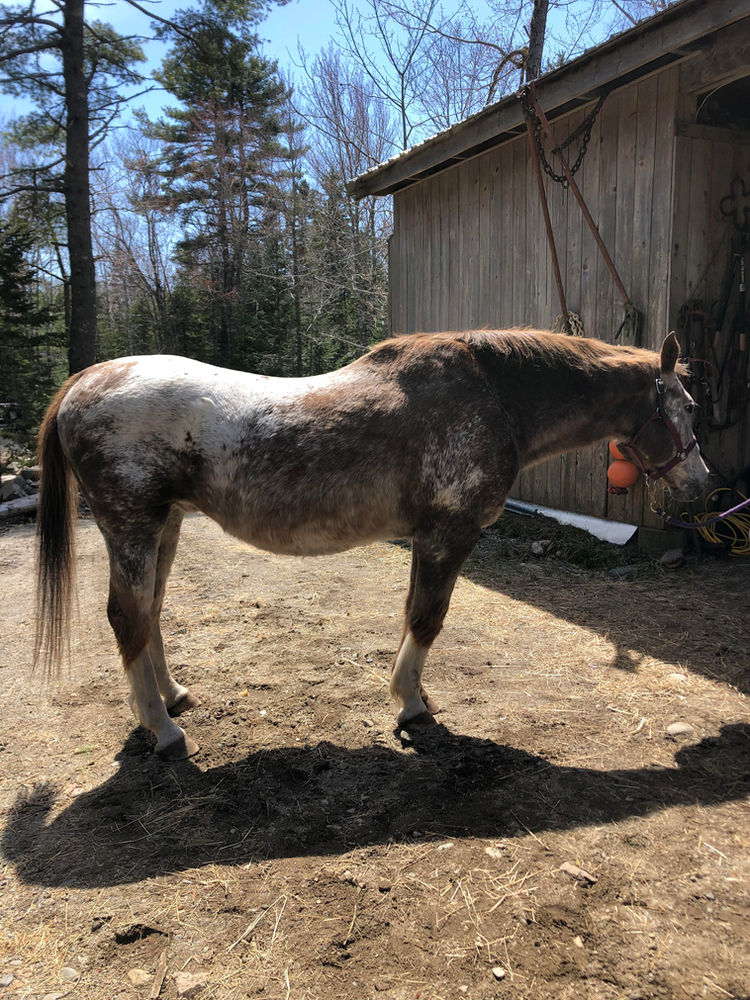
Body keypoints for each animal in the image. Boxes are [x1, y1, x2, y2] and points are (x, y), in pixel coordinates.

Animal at [34, 329, 709, 760]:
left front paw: (413, 692)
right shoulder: (448, 534)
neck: (494, 395)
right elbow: (427, 618)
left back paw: (172, 700)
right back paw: (165, 733)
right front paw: (410, 704)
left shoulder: (427, 539)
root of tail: (84, 381)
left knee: (148, 614)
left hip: (164, 528)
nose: (700, 484)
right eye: (687, 405)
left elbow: (413, 615)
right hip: (132, 527)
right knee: (127, 618)